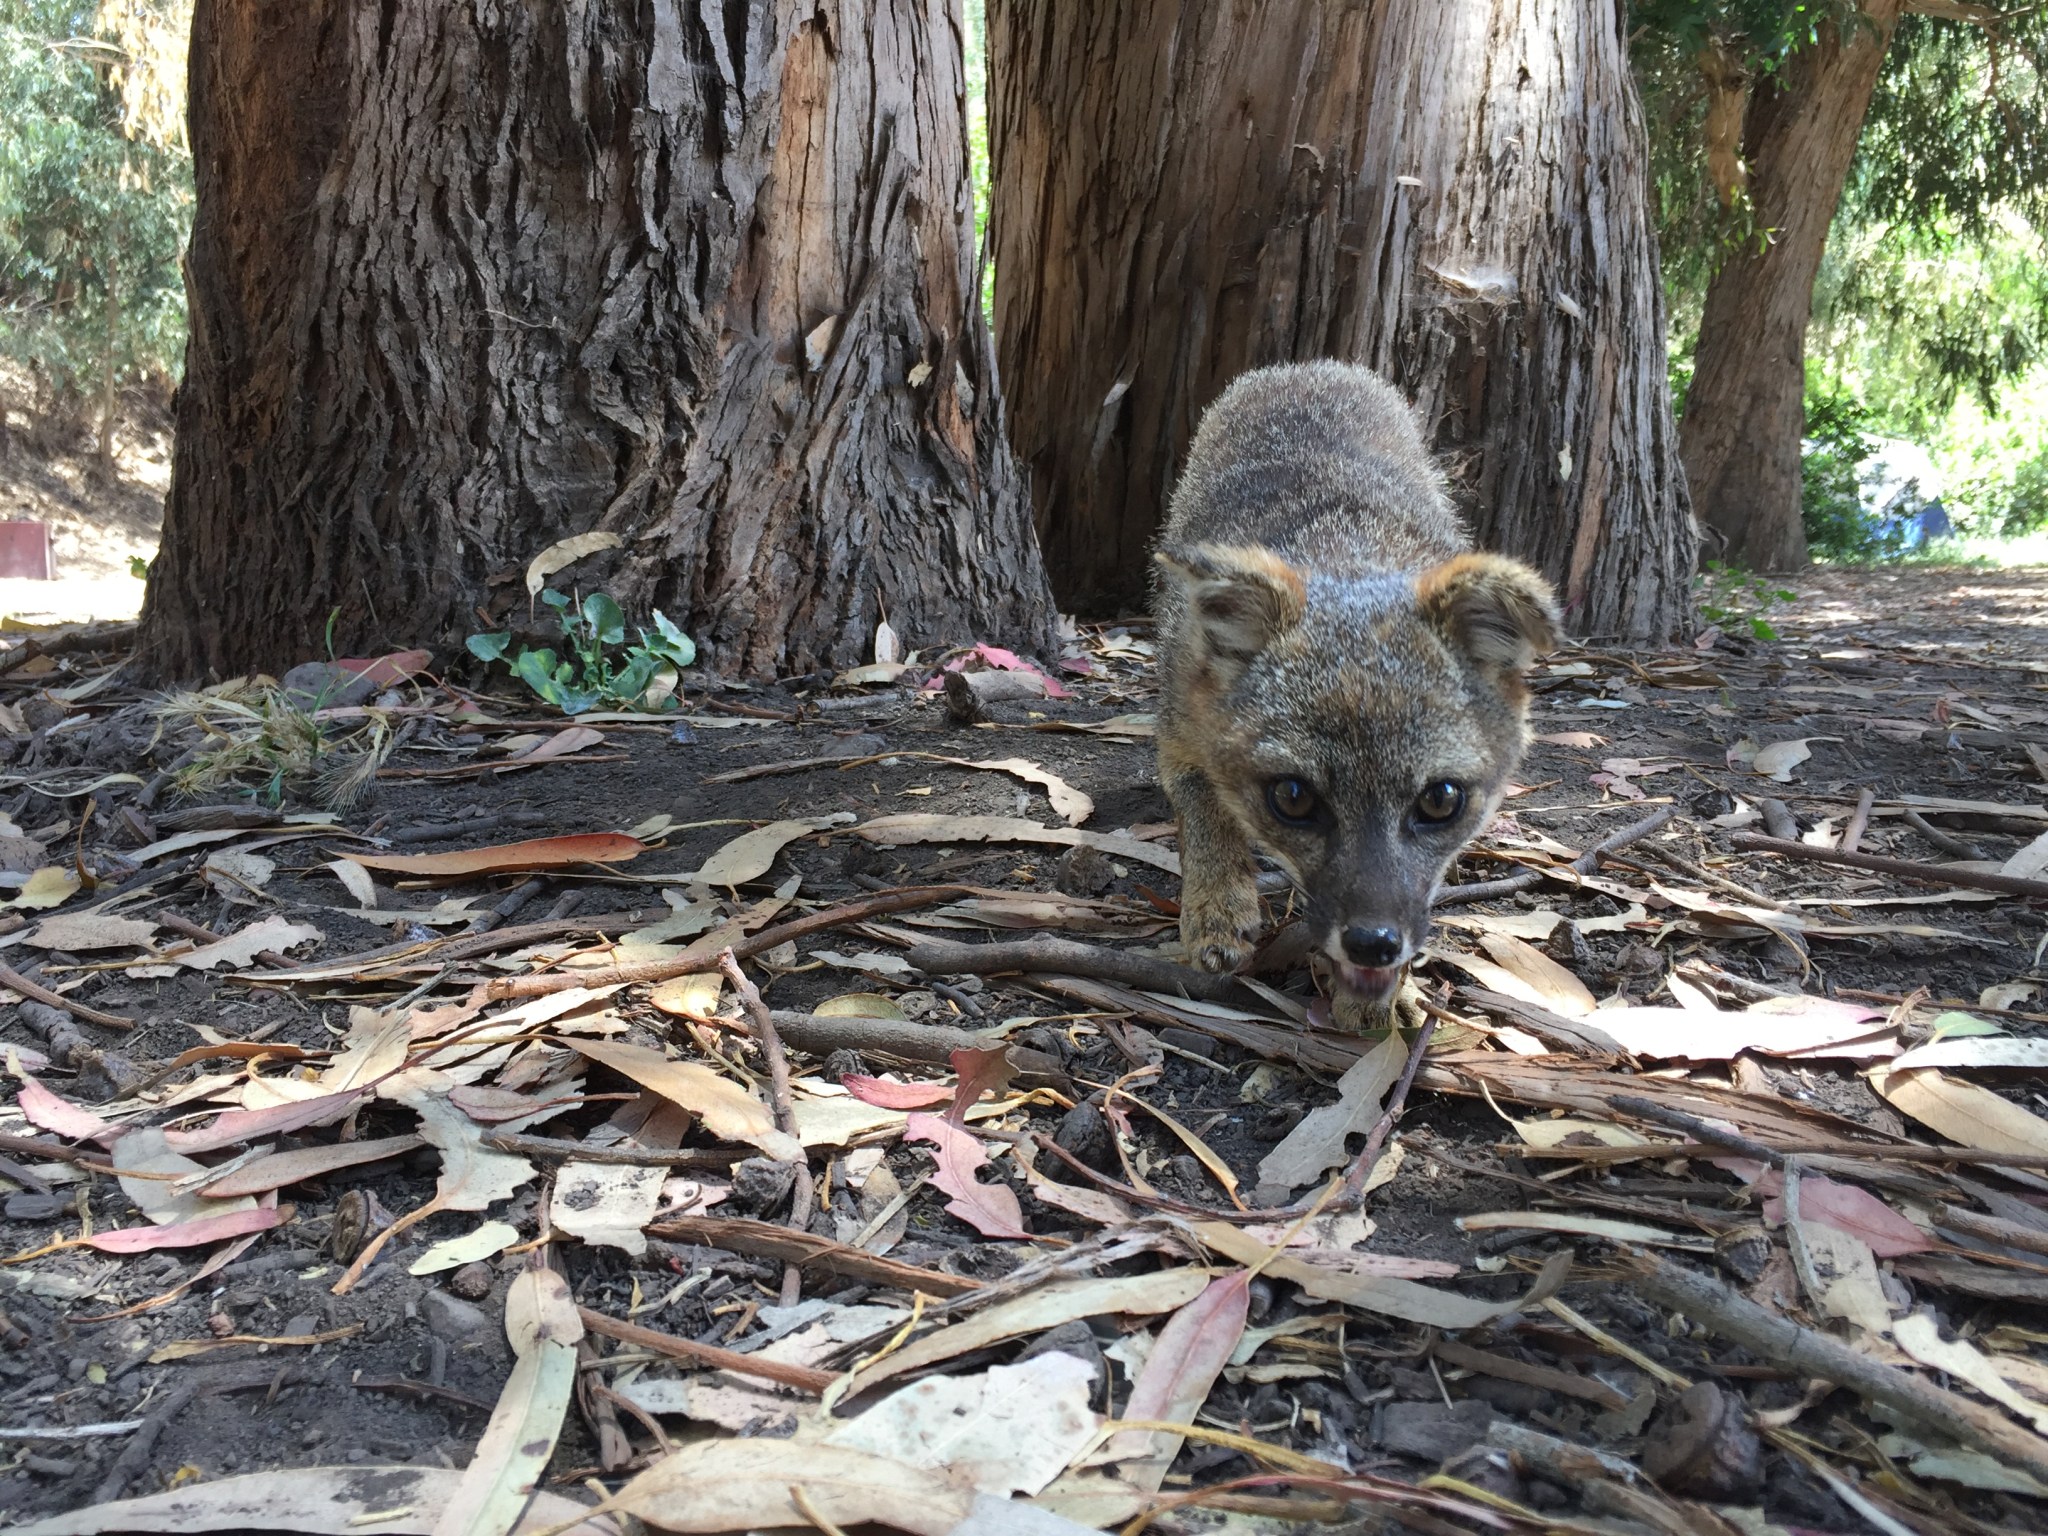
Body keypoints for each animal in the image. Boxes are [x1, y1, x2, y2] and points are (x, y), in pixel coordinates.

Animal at [1153, 360, 1560, 1026]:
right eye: (1292, 797)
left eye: (1441, 800)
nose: (1374, 943)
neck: (1345, 551)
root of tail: (1307, 368)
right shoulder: (1179, 722)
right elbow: (1204, 808)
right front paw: (1217, 906)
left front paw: (1382, 999)